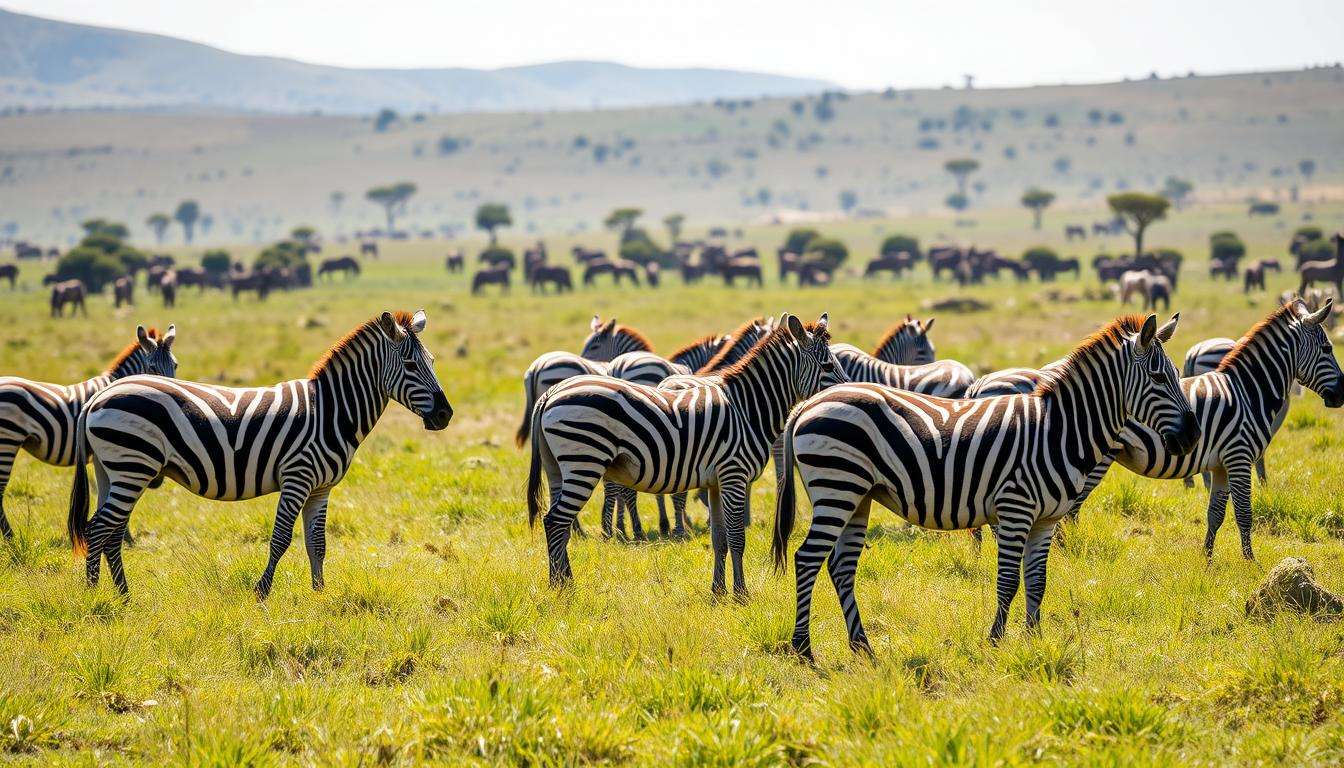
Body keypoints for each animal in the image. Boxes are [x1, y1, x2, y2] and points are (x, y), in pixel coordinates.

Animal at [0, 326, 177, 540]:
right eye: (151, 368)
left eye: (175, 365)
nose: (170, 394)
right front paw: (126, 537)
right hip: (7, 440)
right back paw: (10, 537)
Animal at [68, 311, 452, 598]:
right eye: (410, 364)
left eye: (433, 361)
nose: (445, 415)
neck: (331, 411)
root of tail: (98, 397)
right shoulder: (297, 477)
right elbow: (281, 539)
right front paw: (262, 592)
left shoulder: (321, 489)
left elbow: (318, 544)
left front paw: (319, 594)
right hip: (132, 466)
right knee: (99, 528)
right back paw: (94, 597)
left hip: (112, 469)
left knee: (111, 531)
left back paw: (121, 596)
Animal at [527, 314, 836, 598]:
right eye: (829, 366)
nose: (843, 395)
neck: (747, 408)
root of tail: (551, 393)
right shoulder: (734, 474)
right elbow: (737, 537)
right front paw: (741, 593)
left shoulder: (716, 482)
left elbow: (720, 539)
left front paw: (718, 592)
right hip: (585, 461)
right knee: (556, 521)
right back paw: (563, 587)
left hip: (557, 467)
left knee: (558, 523)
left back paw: (562, 582)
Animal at [774, 314, 1198, 656]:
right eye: (1159, 377)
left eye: (1177, 376)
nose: (1193, 435)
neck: (1058, 431)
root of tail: (807, 405)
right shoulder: (1015, 509)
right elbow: (1008, 580)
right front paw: (996, 642)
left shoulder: (1046, 520)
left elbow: (1037, 581)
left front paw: (1034, 641)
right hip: (837, 485)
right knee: (807, 558)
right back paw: (804, 649)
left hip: (856, 495)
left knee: (841, 566)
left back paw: (863, 648)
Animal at [1068, 300, 1341, 560]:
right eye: (1328, 349)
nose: (1342, 394)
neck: (1249, 391)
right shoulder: (1239, 457)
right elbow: (1244, 514)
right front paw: (1250, 563)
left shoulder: (1222, 465)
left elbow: (1216, 515)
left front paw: (1207, 561)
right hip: (1095, 459)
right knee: (1072, 508)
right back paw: (1072, 550)